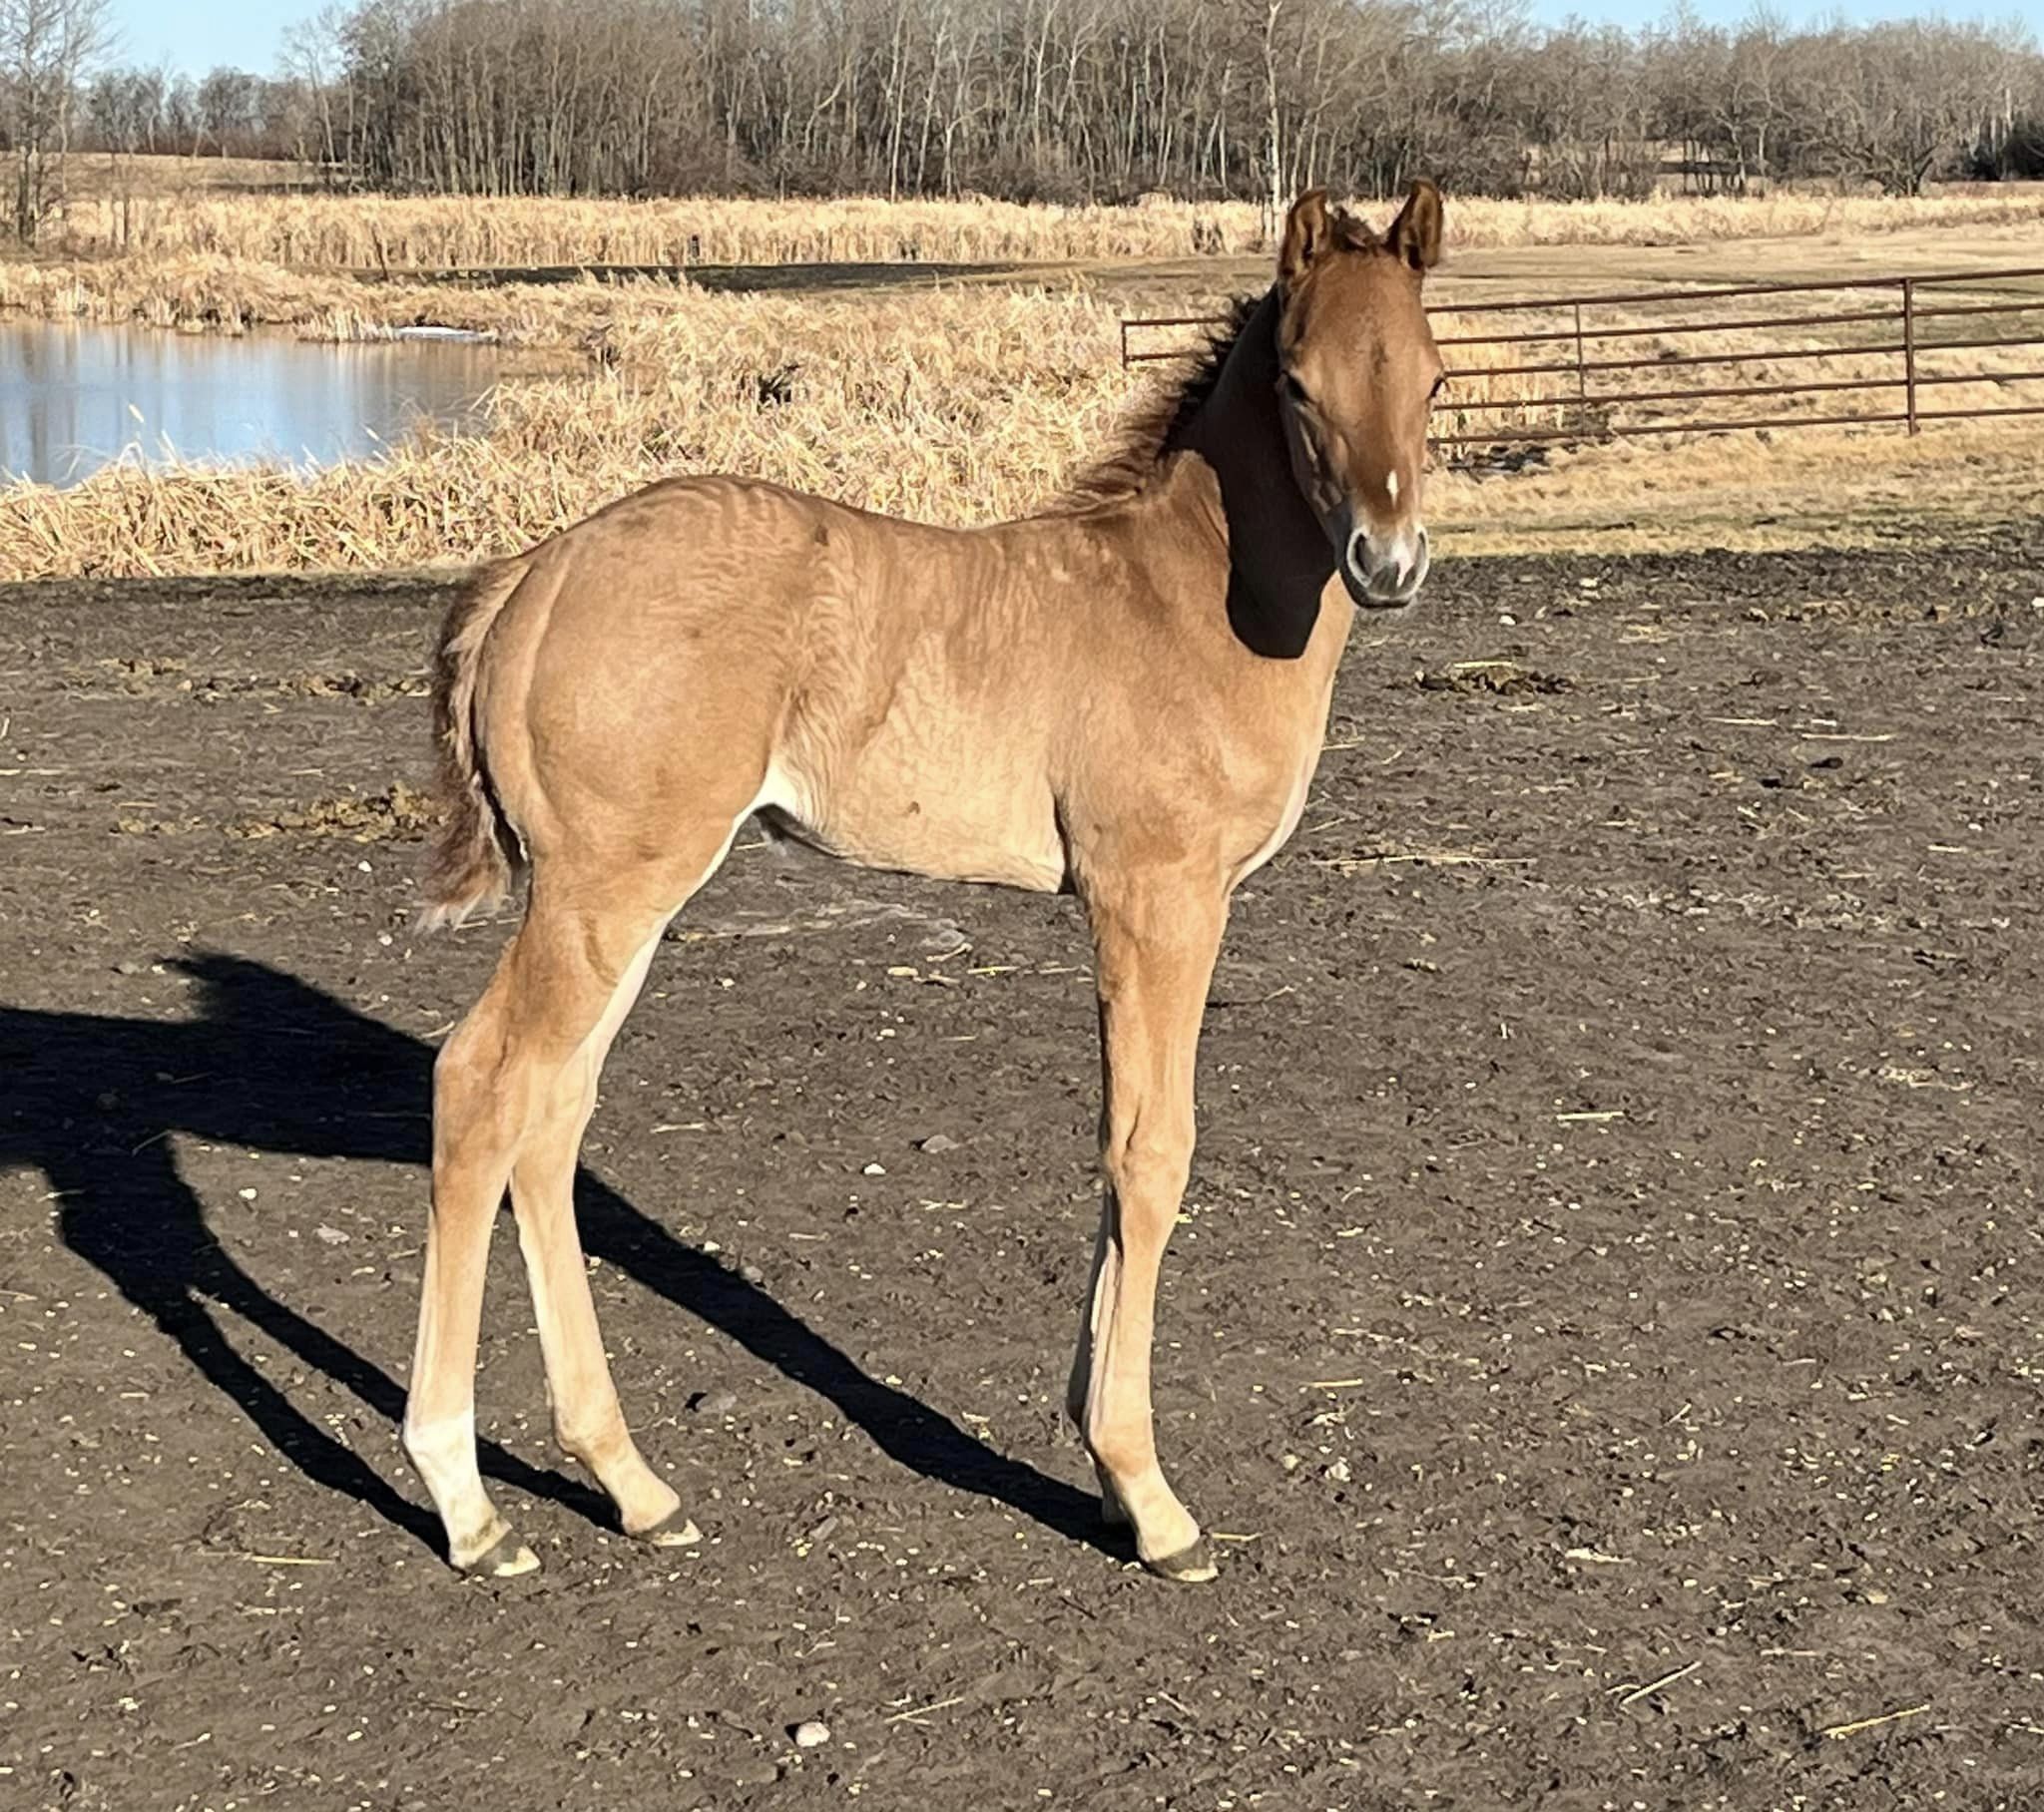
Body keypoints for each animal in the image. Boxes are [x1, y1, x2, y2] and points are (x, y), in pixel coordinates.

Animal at [403, 182, 1448, 1584]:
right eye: (1296, 382)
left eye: (1434, 377)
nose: (1388, 562)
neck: (1182, 605)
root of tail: (541, 571)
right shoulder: (1157, 897)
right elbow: (1149, 1150)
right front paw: (1145, 1495)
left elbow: (1119, 1147)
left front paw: (1102, 1465)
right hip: (598, 892)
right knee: (481, 1086)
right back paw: (467, 1506)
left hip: (624, 898)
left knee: (550, 1116)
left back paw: (631, 1482)